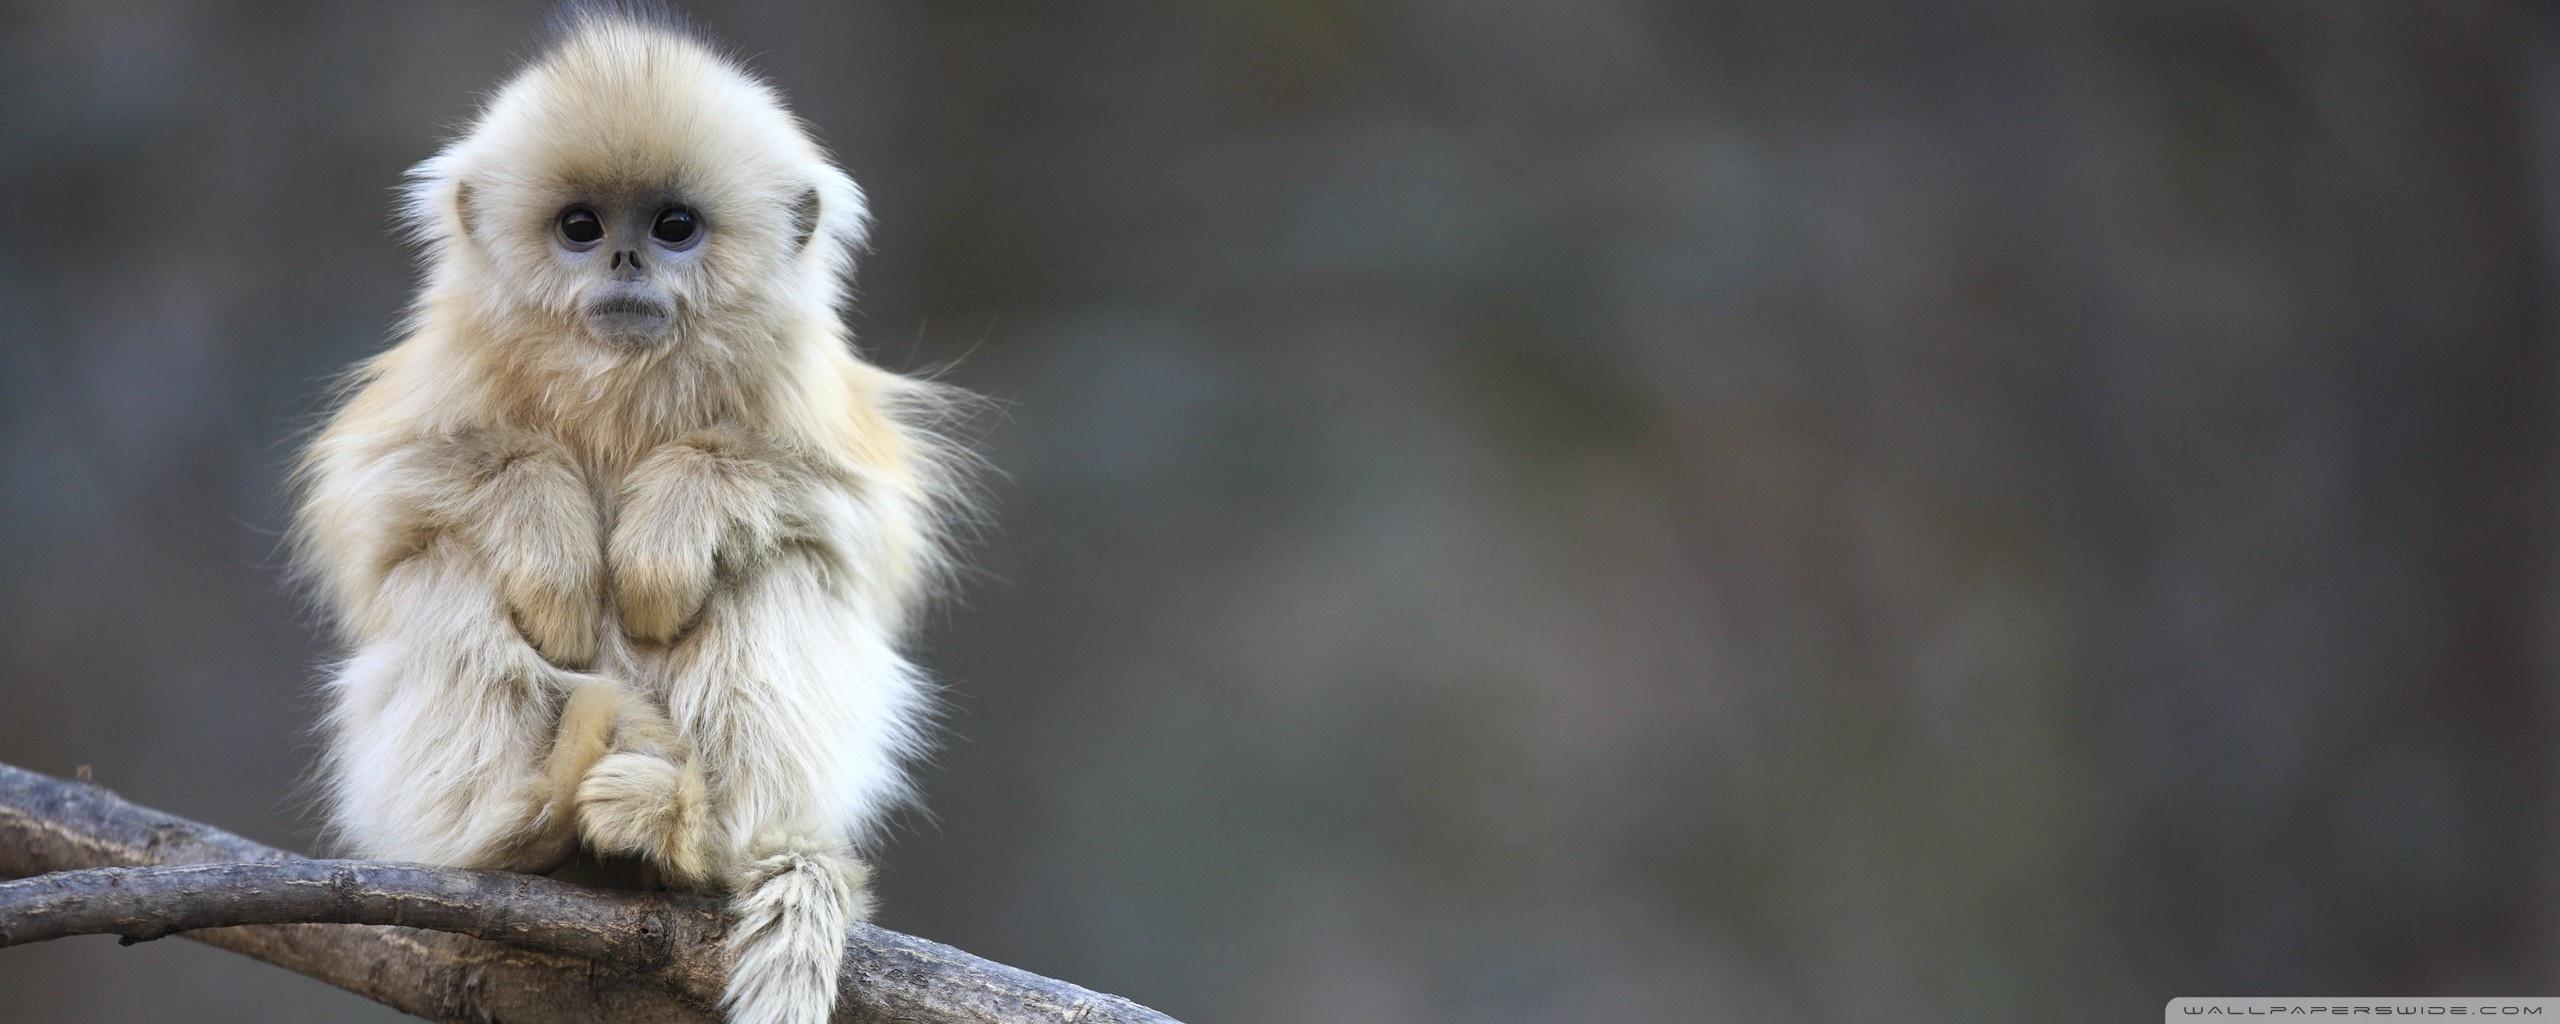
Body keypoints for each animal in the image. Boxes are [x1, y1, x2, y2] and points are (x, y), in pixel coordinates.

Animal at [290, 9, 972, 1024]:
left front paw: (663, 544)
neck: (620, 383)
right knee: (443, 565)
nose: (623, 257)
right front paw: (558, 556)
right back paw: (523, 830)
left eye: (673, 225)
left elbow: (851, 521)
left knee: (782, 565)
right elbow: (385, 502)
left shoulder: (811, 400)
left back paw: (685, 834)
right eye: (581, 226)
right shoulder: (440, 380)